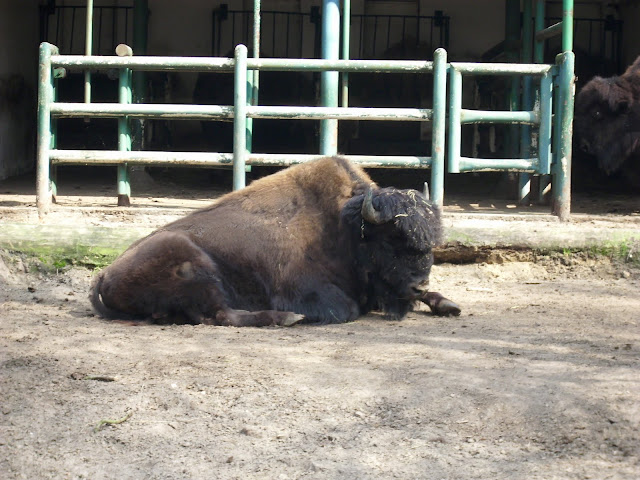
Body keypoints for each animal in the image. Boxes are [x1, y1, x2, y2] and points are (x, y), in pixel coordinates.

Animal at [90, 156, 460, 326]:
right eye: (390, 240)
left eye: (431, 242)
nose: (419, 285)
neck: (345, 227)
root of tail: (104, 273)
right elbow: (348, 309)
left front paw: (448, 305)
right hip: (195, 266)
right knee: (222, 314)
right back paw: (287, 318)